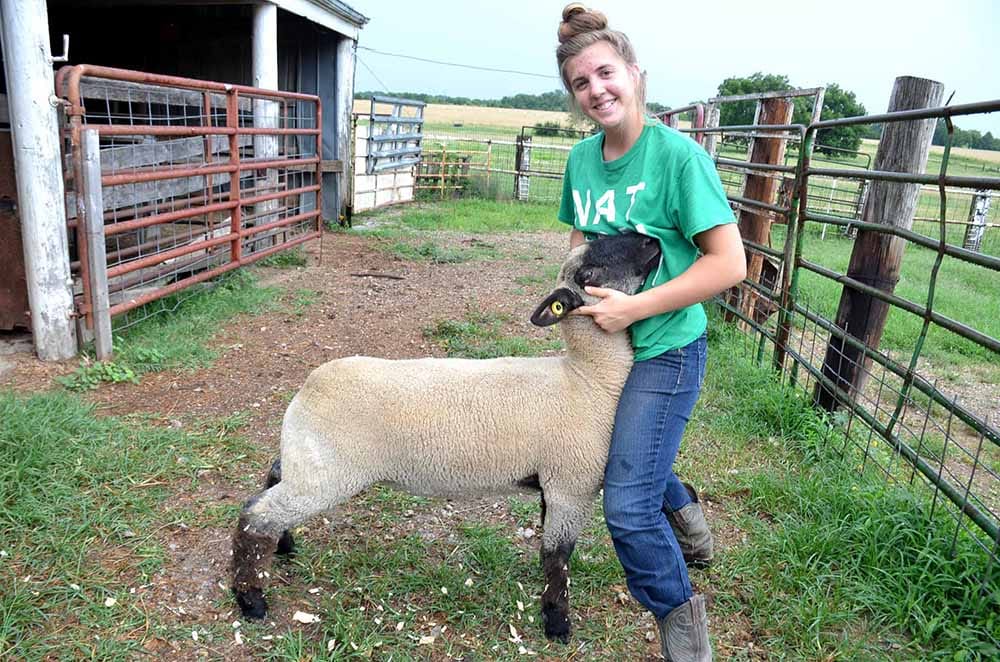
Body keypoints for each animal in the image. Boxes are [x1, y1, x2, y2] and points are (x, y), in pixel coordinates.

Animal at [232, 232, 662, 643]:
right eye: (591, 269)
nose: (652, 241)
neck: (589, 378)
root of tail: (309, 387)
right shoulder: (571, 485)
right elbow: (557, 557)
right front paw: (557, 623)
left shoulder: (553, 484)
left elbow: (549, 549)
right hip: (327, 474)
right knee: (256, 515)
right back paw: (250, 600)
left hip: (309, 457)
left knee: (273, 478)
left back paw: (283, 546)